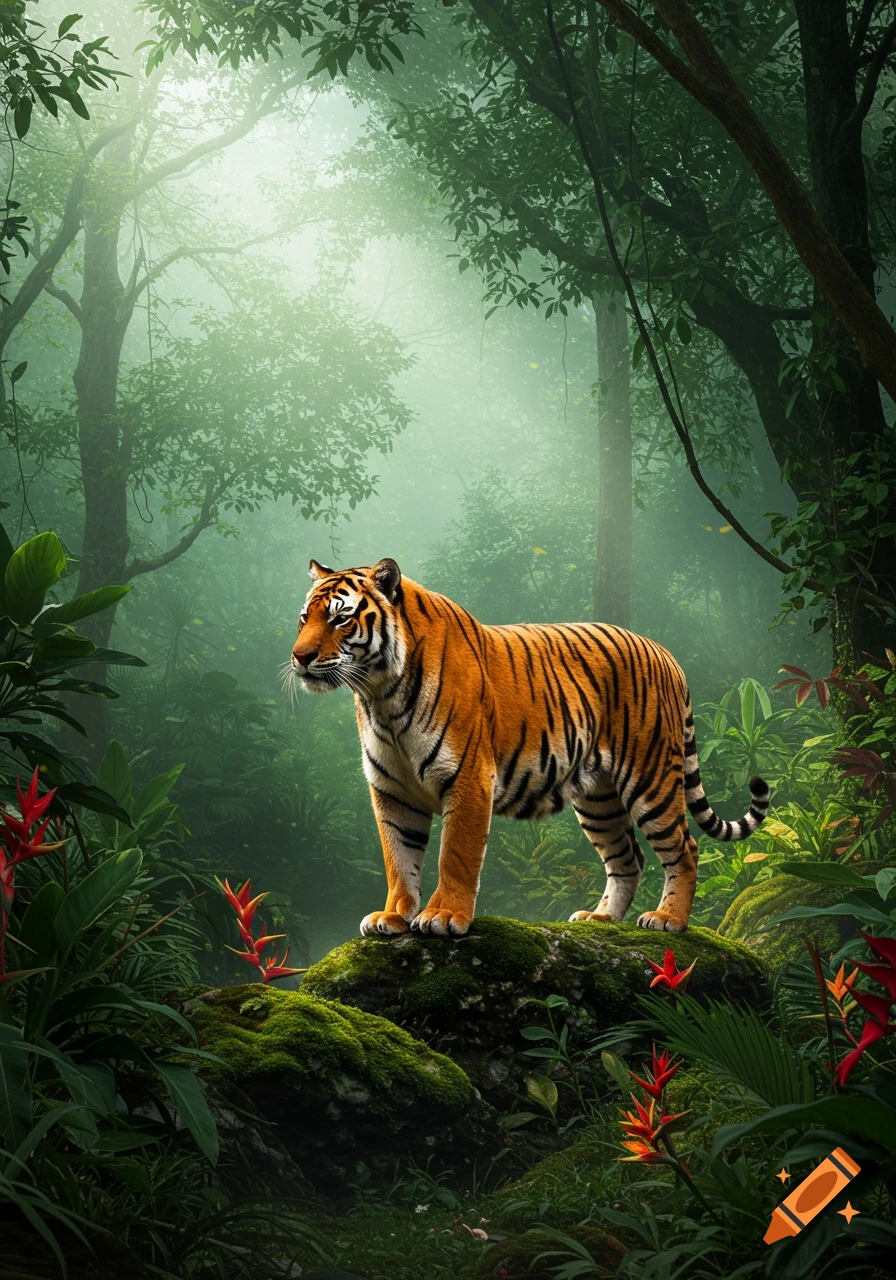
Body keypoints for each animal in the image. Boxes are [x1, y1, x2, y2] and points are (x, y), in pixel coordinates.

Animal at [287, 557, 770, 937]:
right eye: (304, 619)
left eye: (341, 619)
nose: (300, 657)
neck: (380, 695)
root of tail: (666, 654)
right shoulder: (392, 790)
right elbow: (399, 859)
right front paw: (392, 917)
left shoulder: (468, 777)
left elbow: (455, 855)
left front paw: (444, 917)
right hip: (598, 799)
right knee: (627, 857)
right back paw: (600, 919)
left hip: (651, 779)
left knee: (684, 848)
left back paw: (669, 919)